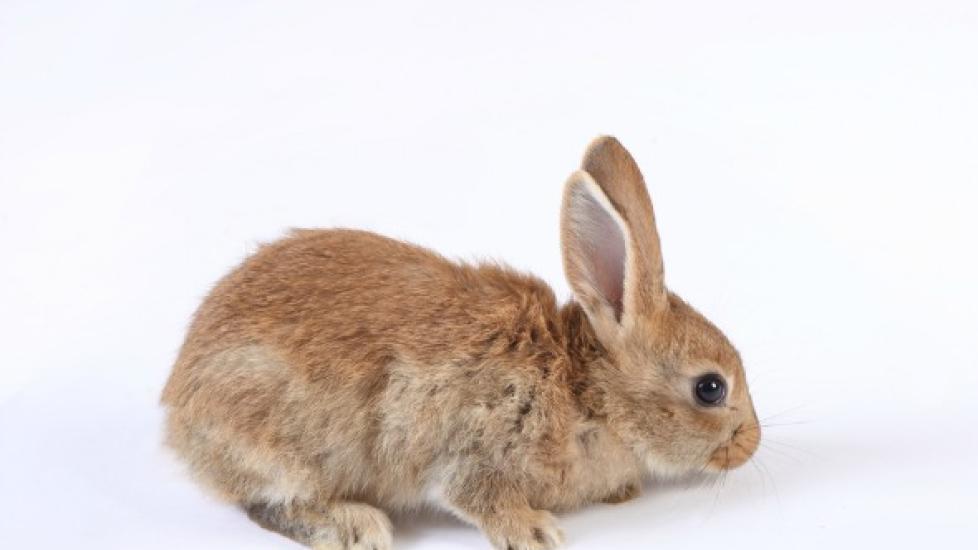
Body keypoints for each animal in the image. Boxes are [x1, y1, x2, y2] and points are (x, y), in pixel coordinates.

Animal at [161, 136, 760, 550]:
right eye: (710, 388)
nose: (751, 444)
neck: (588, 393)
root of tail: (177, 410)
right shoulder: (481, 441)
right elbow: (475, 496)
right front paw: (535, 532)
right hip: (280, 443)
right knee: (266, 500)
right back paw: (356, 525)